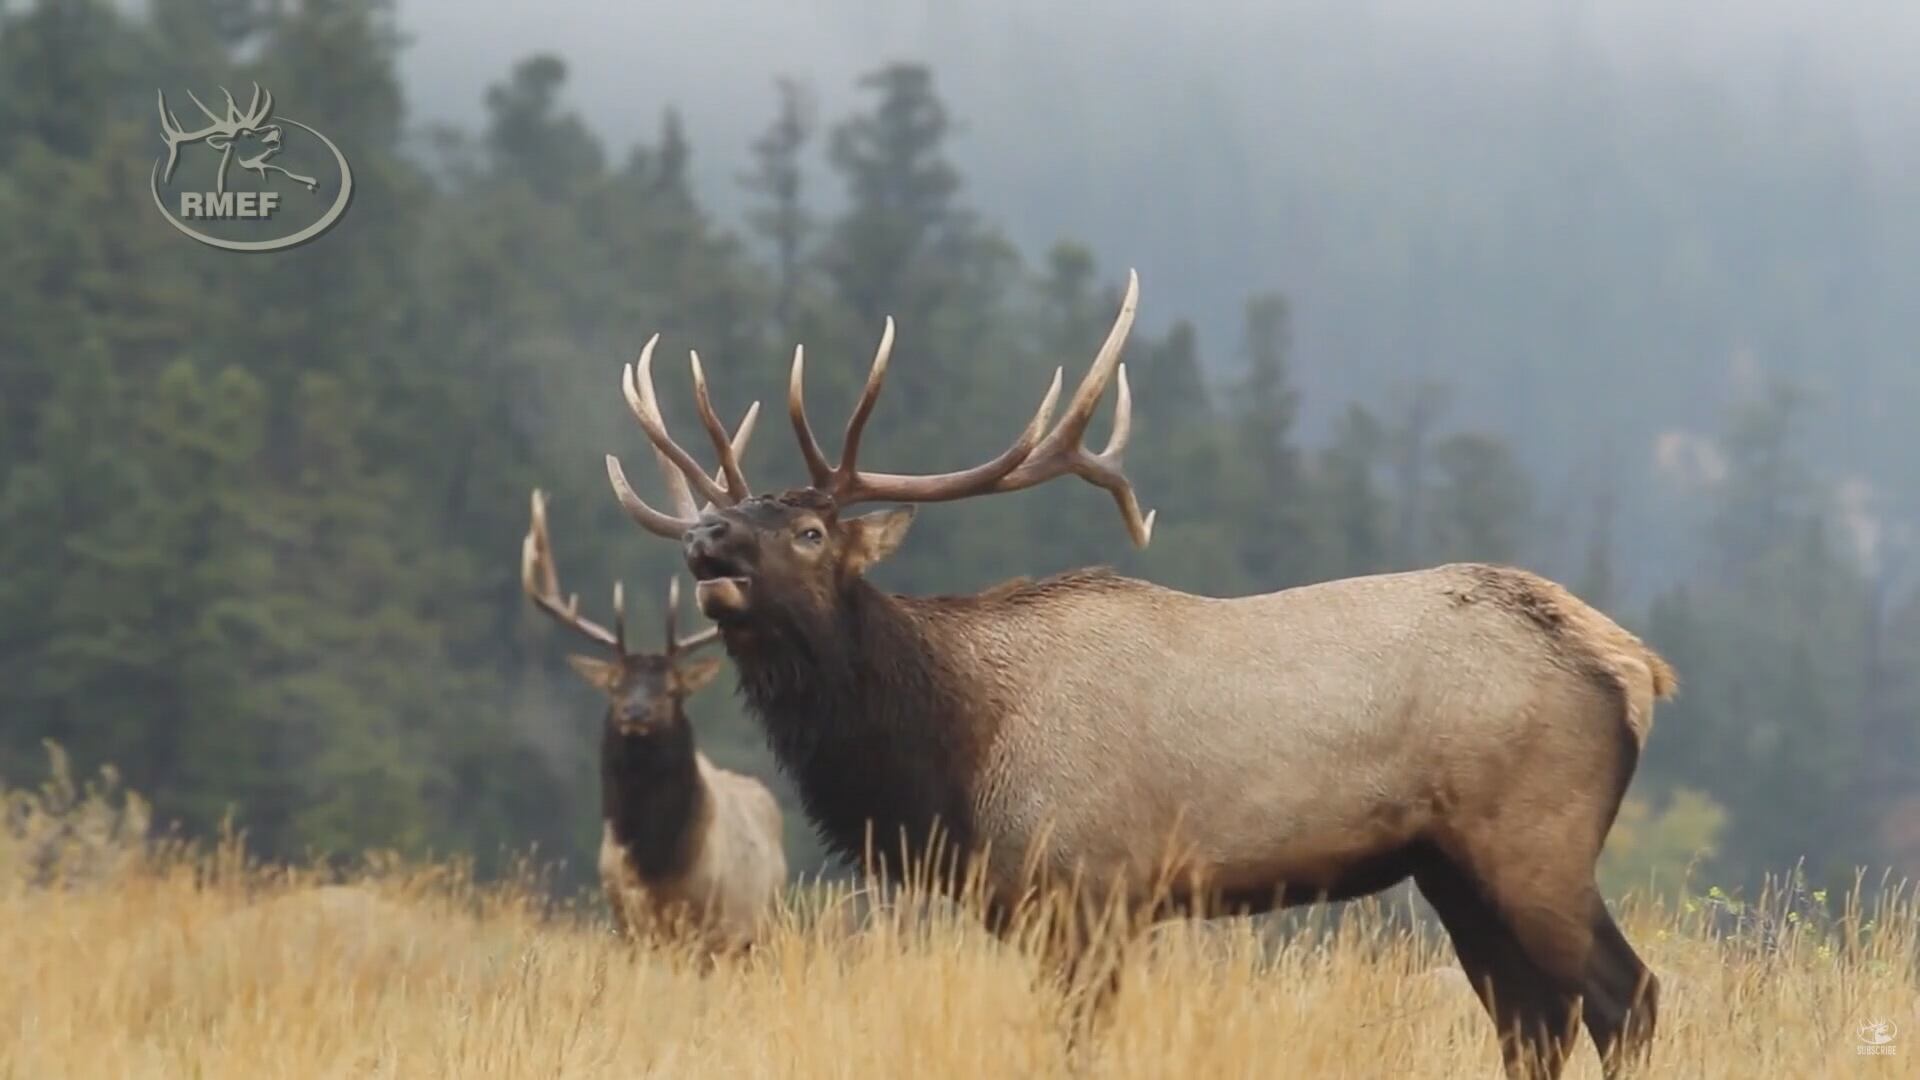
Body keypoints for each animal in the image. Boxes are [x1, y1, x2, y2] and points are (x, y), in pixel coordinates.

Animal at [521, 488, 787, 959]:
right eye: (615, 685)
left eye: (672, 690)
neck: (659, 866)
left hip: (761, 927)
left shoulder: (713, 925)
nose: (636, 713)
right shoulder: (629, 921)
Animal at [598, 272, 1677, 1079]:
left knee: (1624, 995)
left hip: (1535, 834)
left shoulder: (1092, 886)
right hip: (1453, 863)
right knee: (1532, 1019)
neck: (956, 756)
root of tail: (1633, 667)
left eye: (812, 531)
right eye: (737, 515)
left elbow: (1081, 1046)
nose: (705, 536)